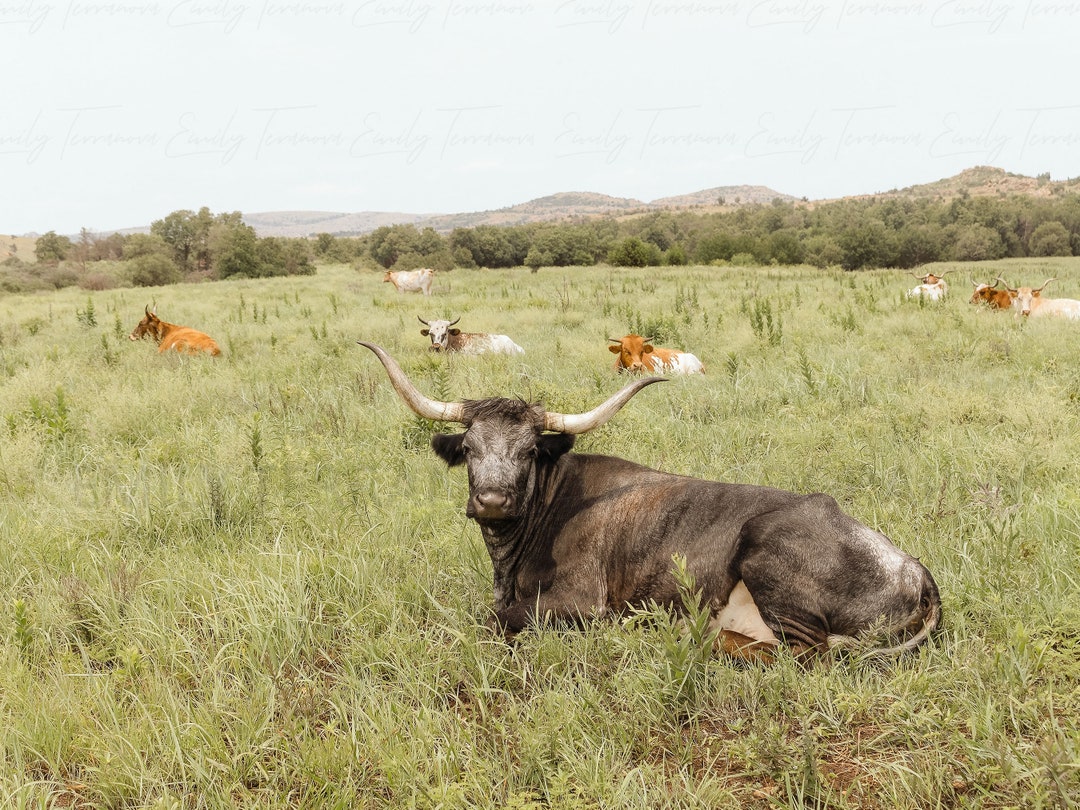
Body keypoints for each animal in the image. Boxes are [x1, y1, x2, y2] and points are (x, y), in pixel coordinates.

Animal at [357, 341, 941, 662]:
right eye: (471, 449)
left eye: (527, 451)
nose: (493, 500)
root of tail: (915, 568)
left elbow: (496, 620)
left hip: (767, 559)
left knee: (802, 655)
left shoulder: (578, 602)